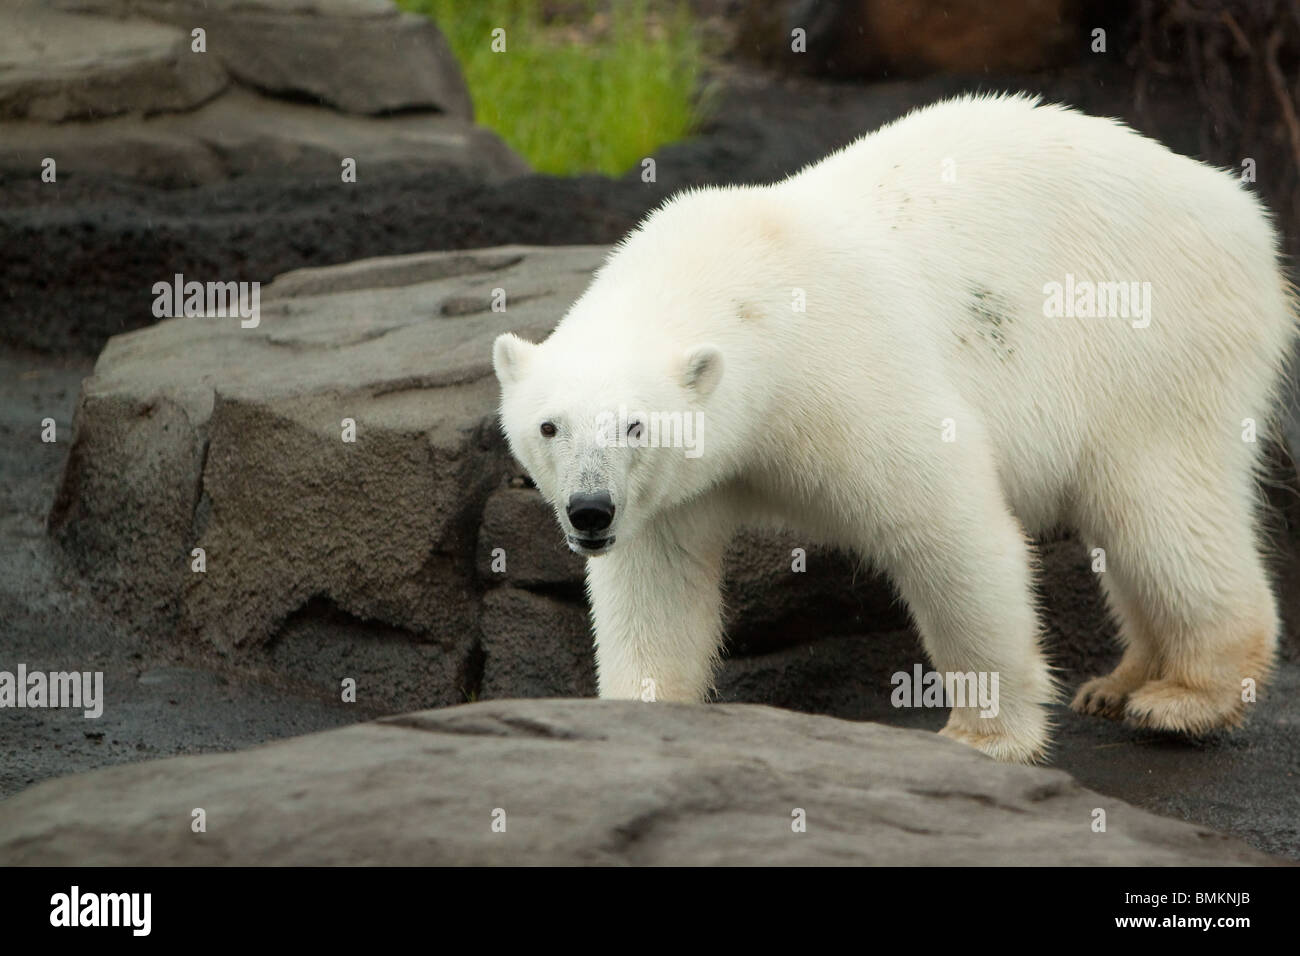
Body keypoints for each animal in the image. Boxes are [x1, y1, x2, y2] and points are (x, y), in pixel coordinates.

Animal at [492, 93, 1297, 763]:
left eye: (636, 426)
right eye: (550, 427)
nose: (589, 512)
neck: (742, 289)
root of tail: (1245, 216)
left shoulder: (846, 373)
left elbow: (949, 531)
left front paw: (986, 737)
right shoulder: (673, 491)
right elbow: (655, 581)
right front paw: (635, 712)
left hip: (1154, 339)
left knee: (1162, 508)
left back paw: (1184, 699)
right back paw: (1120, 681)